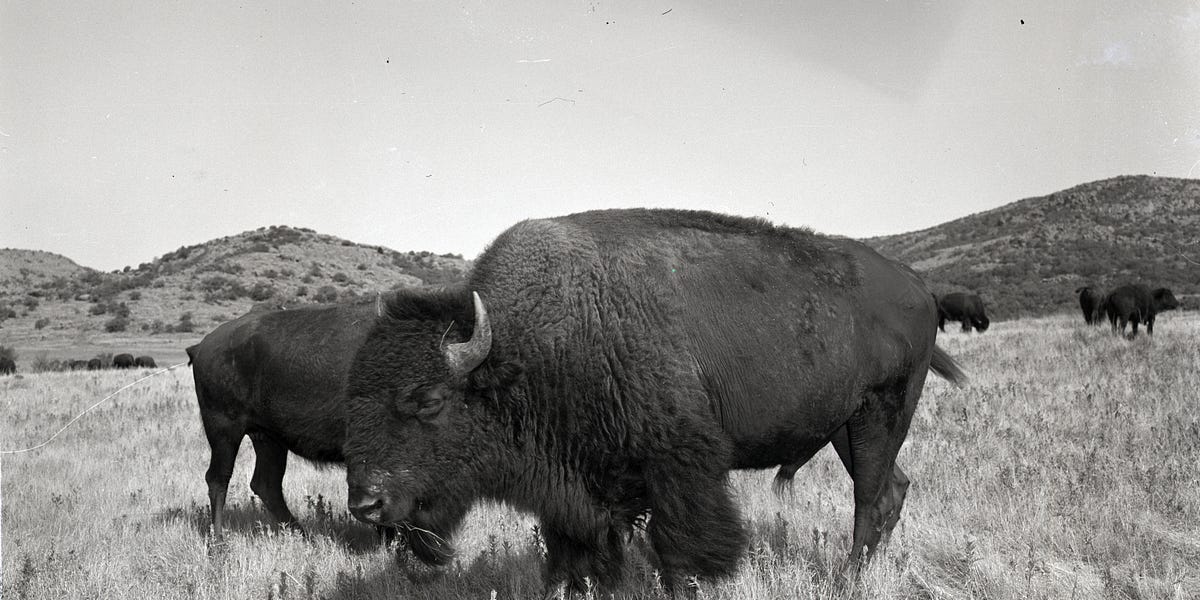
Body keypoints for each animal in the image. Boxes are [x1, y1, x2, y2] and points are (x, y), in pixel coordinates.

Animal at [343, 209, 965, 592]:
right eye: (354, 397)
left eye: (428, 400)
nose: (365, 503)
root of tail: (920, 285)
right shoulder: (579, 494)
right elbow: (580, 558)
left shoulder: (680, 470)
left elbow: (681, 555)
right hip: (846, 430)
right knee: (891, 489)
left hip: (880, 416)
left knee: (868, 499)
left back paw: (848, 577)